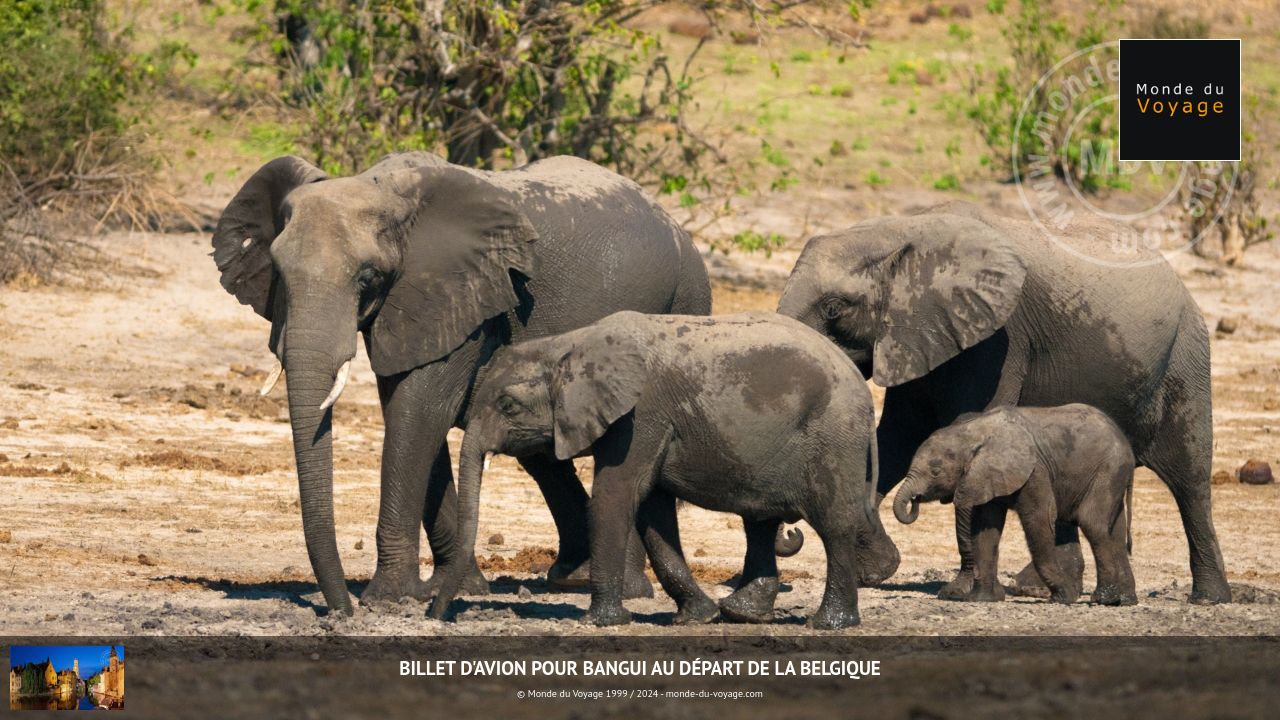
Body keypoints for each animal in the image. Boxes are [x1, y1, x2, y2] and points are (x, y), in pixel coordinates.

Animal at [209, 149, 711, 609]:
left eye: (367, 277)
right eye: (278, 273)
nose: (341, 610)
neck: (382, 189)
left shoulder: (462, 296)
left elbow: (417, 412)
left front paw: (387, 599)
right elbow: (408, 413)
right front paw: (456, 588)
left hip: (684, 298)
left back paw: (626, 589)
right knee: (543, 455)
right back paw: (572, 578)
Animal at [424, 311, 896, 625]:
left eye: (508, 405)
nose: (438, 614)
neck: (568, 344)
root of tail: (859, 381)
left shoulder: (641, 414)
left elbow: (616, 497)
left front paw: (599, 622)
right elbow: (653, 513)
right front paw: (697, 618)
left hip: (832, 435)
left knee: (834, 524)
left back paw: (828, 624)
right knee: (760, 521)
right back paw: (741, 614)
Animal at [896, 404, 1136, 604]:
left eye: (935, 471)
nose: (915, 500)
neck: (973, 432)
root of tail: (1127, 446)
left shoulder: (1034, 470)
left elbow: (1039, 520)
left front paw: (1063, 598)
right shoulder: (985, 475)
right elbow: (985, 529)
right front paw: (983, 599)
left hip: (1107, 470)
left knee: (1092, 524)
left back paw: (1103, 599)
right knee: (1115, 531)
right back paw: (1124, 600)